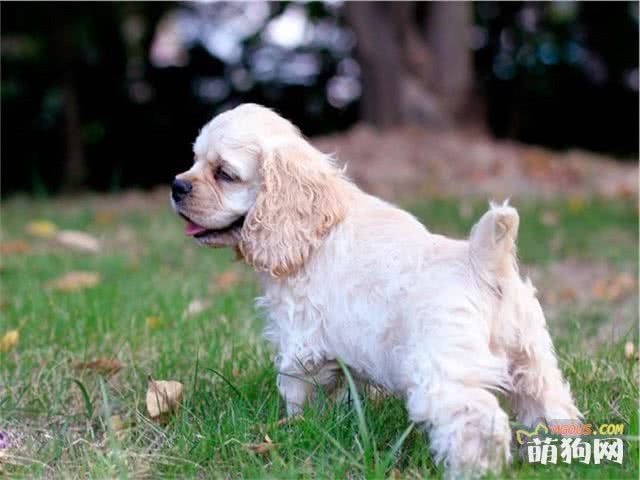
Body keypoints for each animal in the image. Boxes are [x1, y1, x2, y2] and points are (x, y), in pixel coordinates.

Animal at [171, 104, 580, 476]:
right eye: (194, 160)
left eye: (224, 174)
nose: (177, 186)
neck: (318, 227)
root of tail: (483, 261)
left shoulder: (301, 343)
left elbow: (298, 394)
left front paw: (294, 428)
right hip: (532, 362)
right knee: (554, 408)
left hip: (445, 372)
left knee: (477, 422)